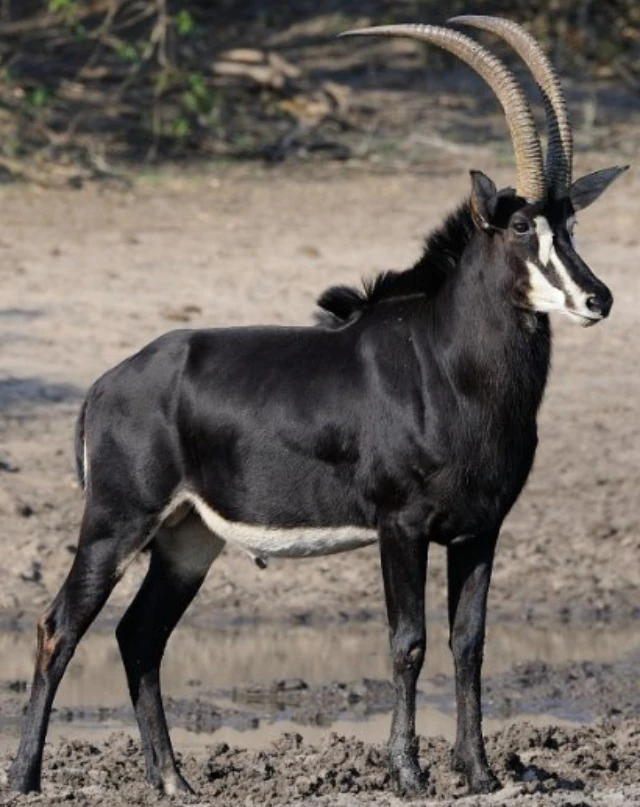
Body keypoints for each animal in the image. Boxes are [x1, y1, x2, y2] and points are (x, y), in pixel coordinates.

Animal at [9, 16, 626, 797]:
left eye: (571, 224)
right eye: (522, 229)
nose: (598, 298)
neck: (446, 363)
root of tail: (102, 385)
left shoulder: (479, 530)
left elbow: (470, 643)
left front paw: (481, 772)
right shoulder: (401, 524)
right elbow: (408, 642)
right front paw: (408, 773)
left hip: (187, 538)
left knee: (139, 635)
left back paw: (173, 780)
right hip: (116, 523)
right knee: (59, 624)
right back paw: (28, 778)